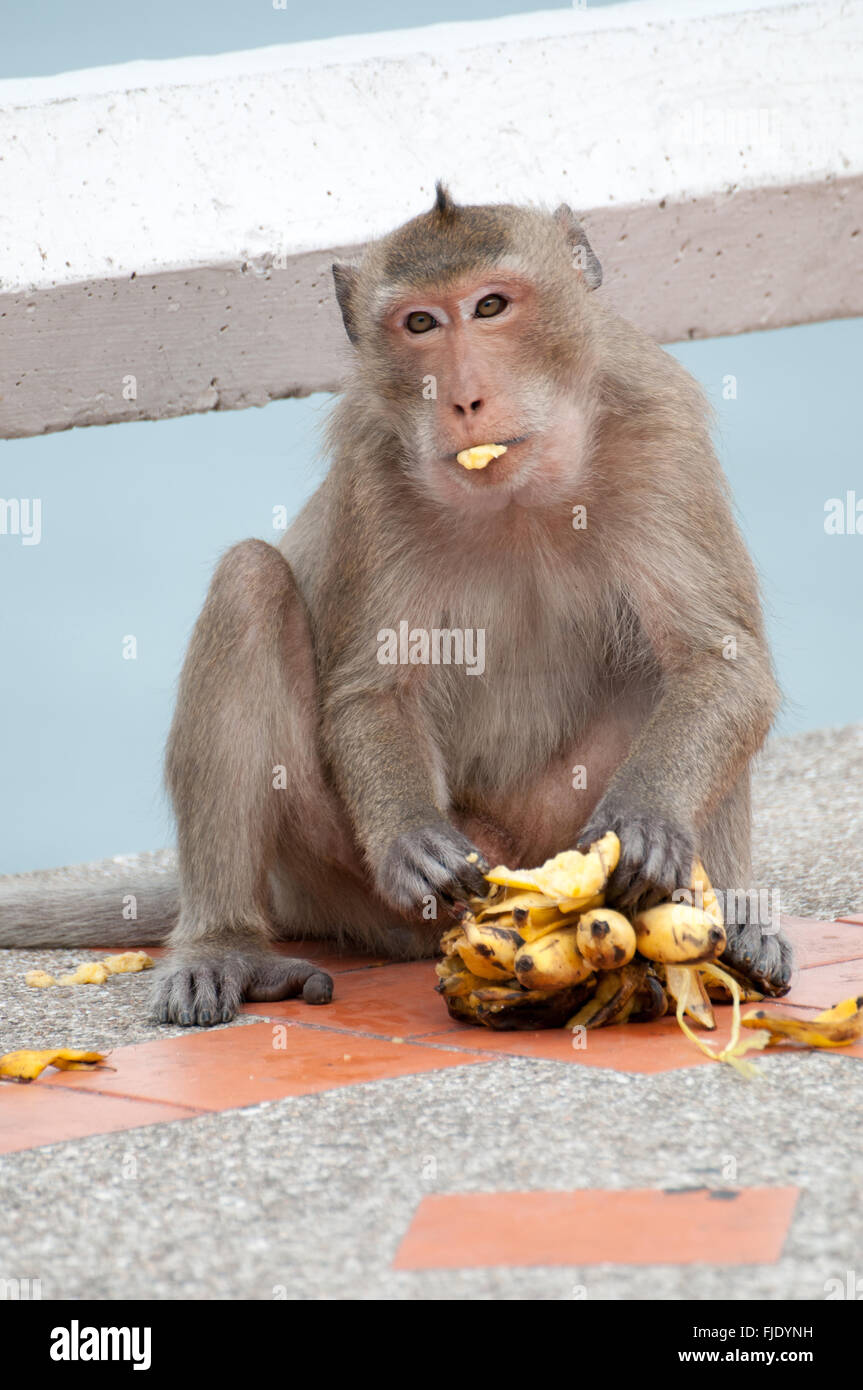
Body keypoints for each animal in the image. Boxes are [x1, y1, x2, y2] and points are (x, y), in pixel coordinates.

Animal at [0, 183, 792, 1025]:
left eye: (489, 306)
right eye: (419, 324)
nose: (465, 398)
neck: (517, 493)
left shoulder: (658, 429)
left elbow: (719, 663)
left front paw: (645, 819)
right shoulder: (373, 466)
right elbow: (372, 691)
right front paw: (411, 835)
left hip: (547, 827)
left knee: (673, 670)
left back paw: (737, 927)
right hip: (339, 874)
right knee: (249, 583)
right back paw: (223, 945)